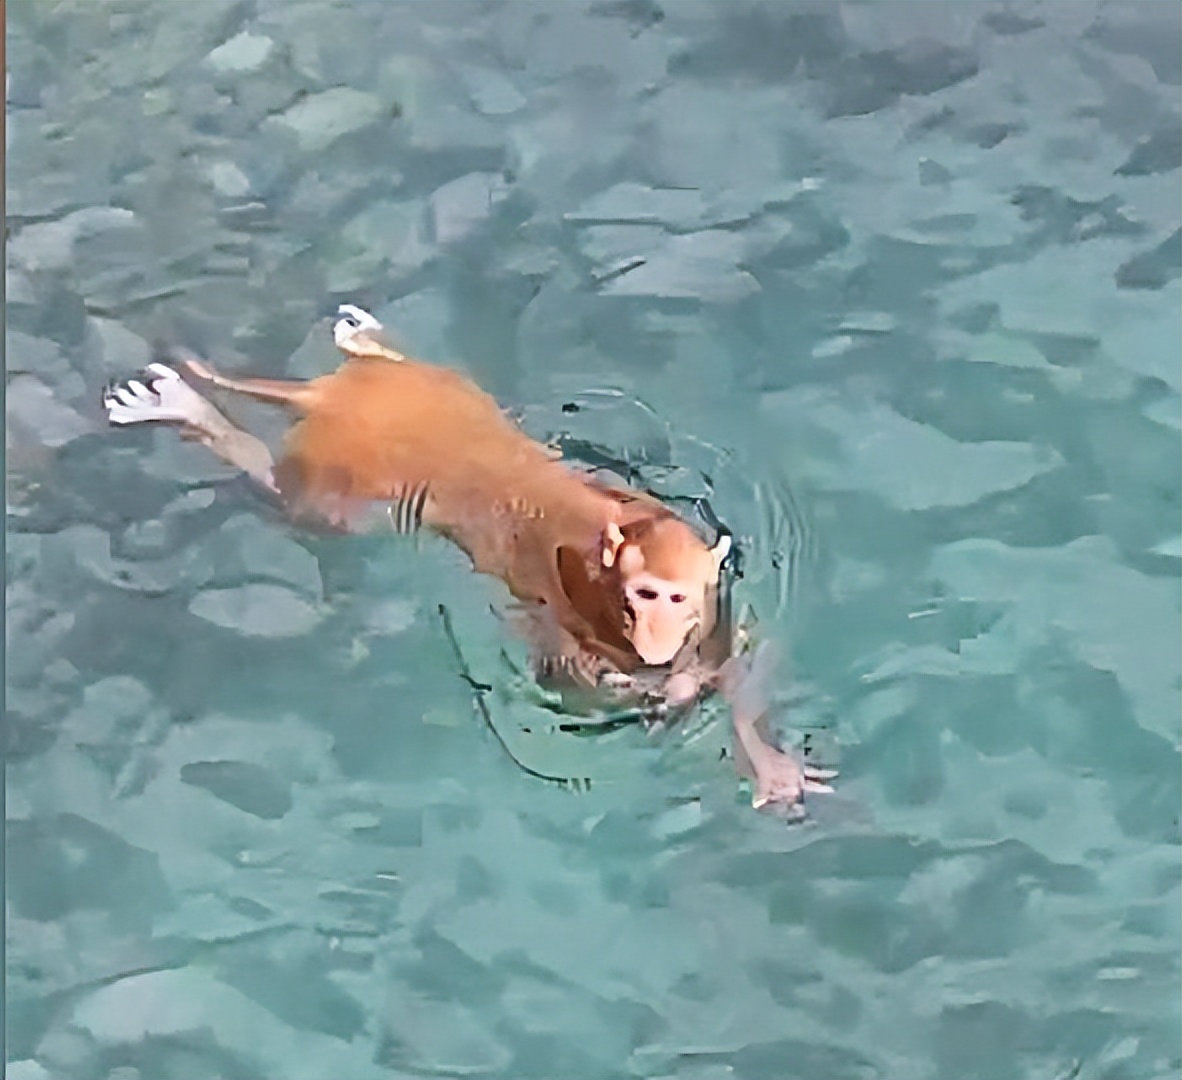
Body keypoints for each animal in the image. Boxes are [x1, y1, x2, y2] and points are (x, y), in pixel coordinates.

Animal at [104, 305, 835, 811]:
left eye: (676, 598)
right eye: (643, 597)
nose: (656, 641)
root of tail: (329, 398)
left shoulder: (713, 608)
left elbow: (735, 667)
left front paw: (764, 757)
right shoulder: (574, 609)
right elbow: (569, 680)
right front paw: (663, 692)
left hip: (435, 390)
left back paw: (367, 340)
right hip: (336, 463)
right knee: (301, 500)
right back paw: (197, 415)